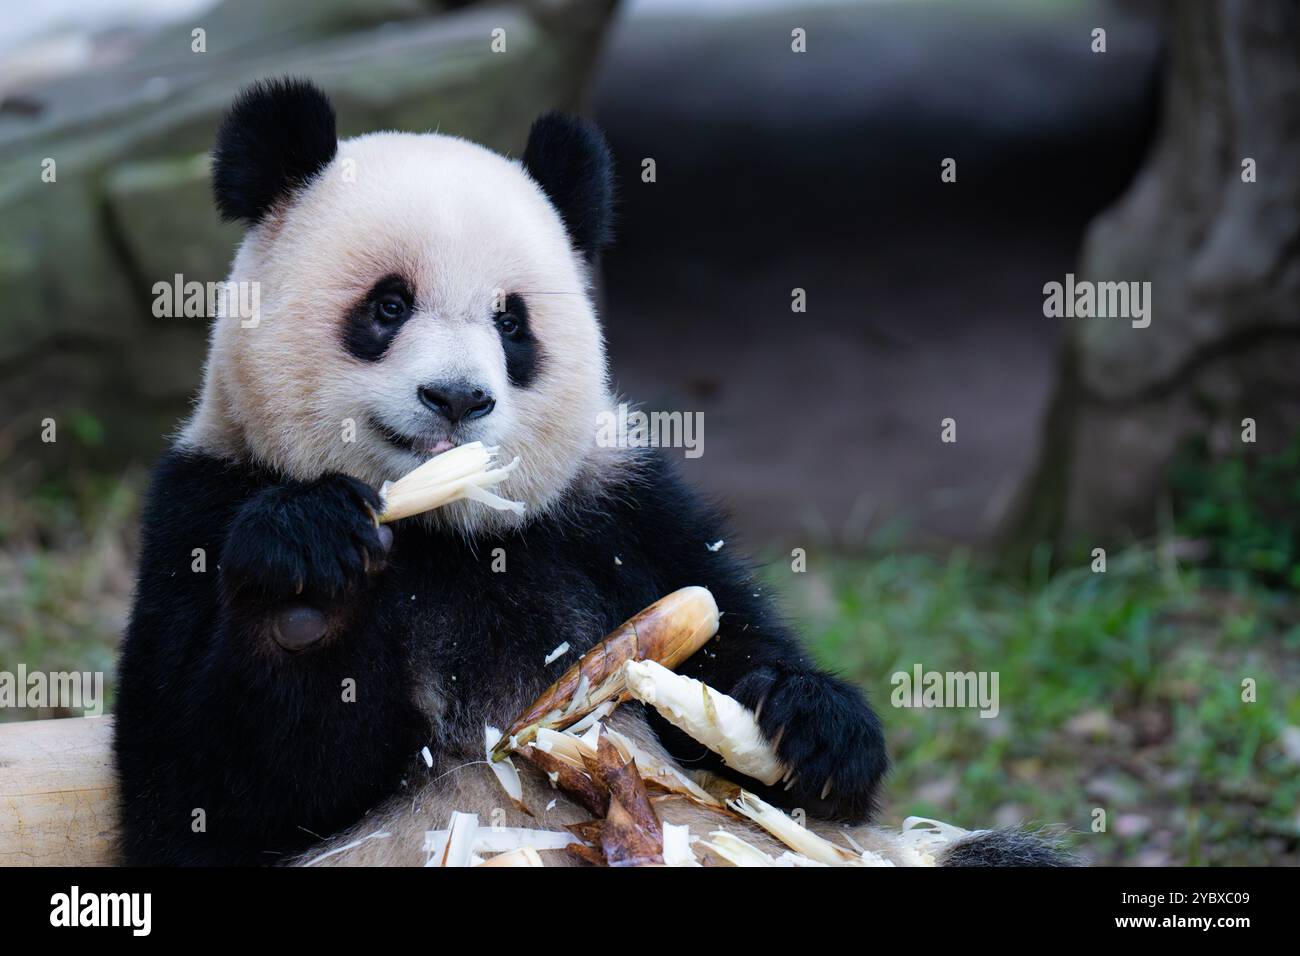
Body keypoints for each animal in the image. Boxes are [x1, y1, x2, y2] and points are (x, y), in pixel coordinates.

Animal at [113, 78, 1068, 867]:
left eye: (512, 324)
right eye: (387, 305)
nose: (457, 397)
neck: (447, 530)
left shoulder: (621, 506)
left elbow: (759, 705)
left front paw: (811, 723)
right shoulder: (199, 505)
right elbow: (205, 797)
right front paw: (308, 582)